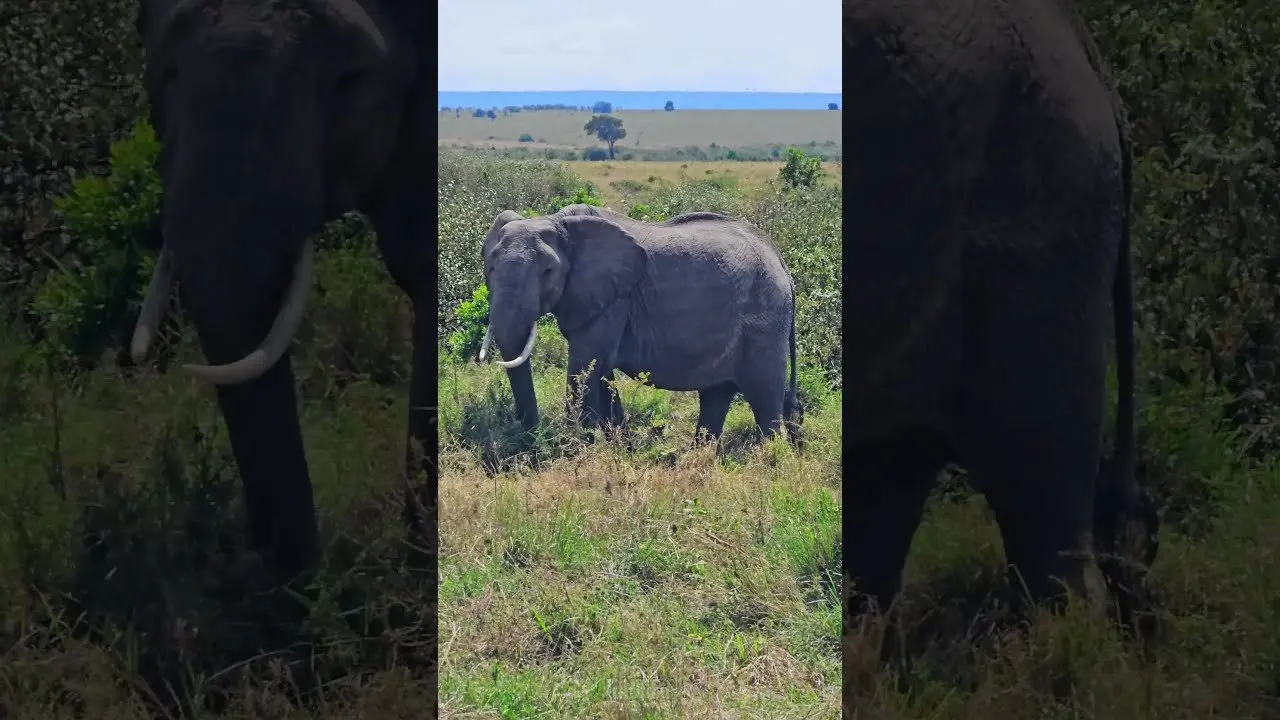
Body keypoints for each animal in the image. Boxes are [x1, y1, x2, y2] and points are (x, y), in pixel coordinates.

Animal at [477, 204, 802, 445]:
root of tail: (782, 263)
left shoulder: (614, 301)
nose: (532, 435)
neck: (559, 221)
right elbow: (602, 376)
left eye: (548, 271)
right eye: (489, 268)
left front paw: (580, 449)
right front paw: (619, 448)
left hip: (765, 320)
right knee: (715, 396)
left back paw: (768, 461)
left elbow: (583, 371)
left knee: (765, 399)